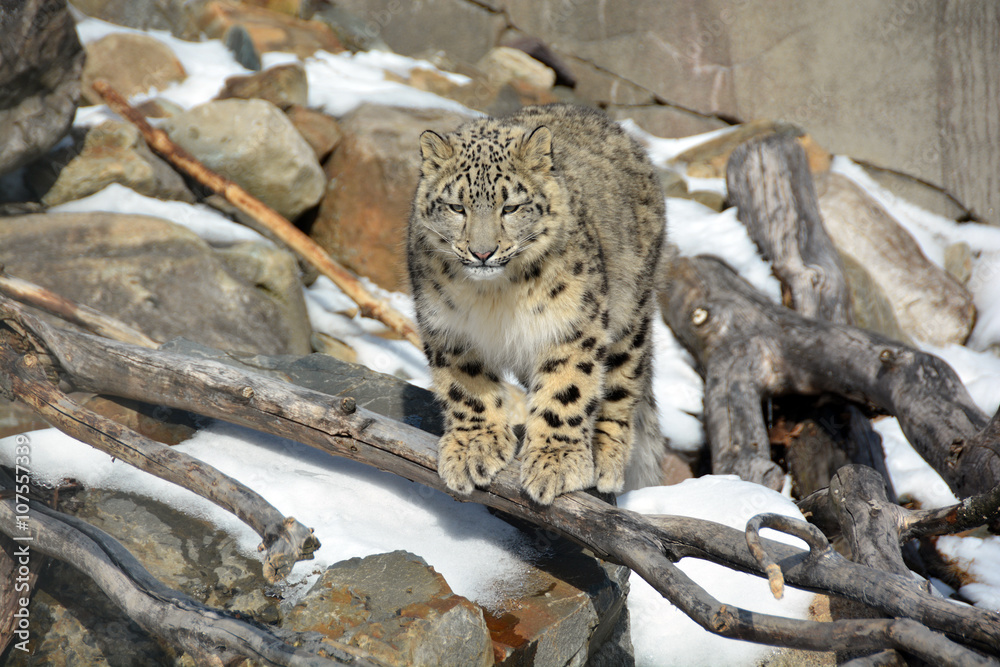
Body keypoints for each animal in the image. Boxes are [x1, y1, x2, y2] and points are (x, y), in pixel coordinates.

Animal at [407, 103, 666, 505]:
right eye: (456, 207)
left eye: (512, 207)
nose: (483, 253)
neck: (495, 298)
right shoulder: (448, 327)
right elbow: (467, 388)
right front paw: (473, 449)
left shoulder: (572, 323)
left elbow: (567, 389)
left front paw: (556, 462)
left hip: (629, 315)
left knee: (623, 383)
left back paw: (606, 460)